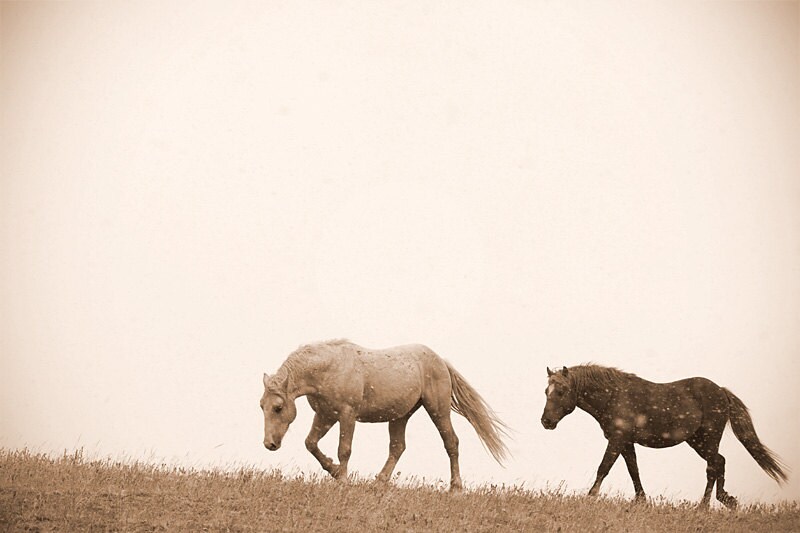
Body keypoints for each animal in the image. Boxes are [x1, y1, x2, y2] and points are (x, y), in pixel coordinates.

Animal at [260, 339, 509, 490]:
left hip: (438, 410)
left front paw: (342, 480)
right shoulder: (325, 416)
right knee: (398, 447)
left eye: (278, 407)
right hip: (400, 416)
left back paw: (455, 487)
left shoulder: (347, 415)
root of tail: (440, 361)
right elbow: (311, 443)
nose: (269, 444)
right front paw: (333, 470)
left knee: (451, 442)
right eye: (262, 405)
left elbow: (344, 449)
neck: (330, 368)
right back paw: (379, 482)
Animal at [540, 365, 787, 508]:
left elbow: (604, 467)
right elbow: (633, 470)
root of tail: (721, 391)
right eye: (546, 391)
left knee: (713, 466)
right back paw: (726, 500)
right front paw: (642, 501)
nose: (546, 422)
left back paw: (704, 506)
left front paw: (590, 498)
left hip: (708, 439)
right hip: (698, 442)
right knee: (720, 462)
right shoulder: (626, 442)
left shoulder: (617, 439)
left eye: (561, 391)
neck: (613, 396)